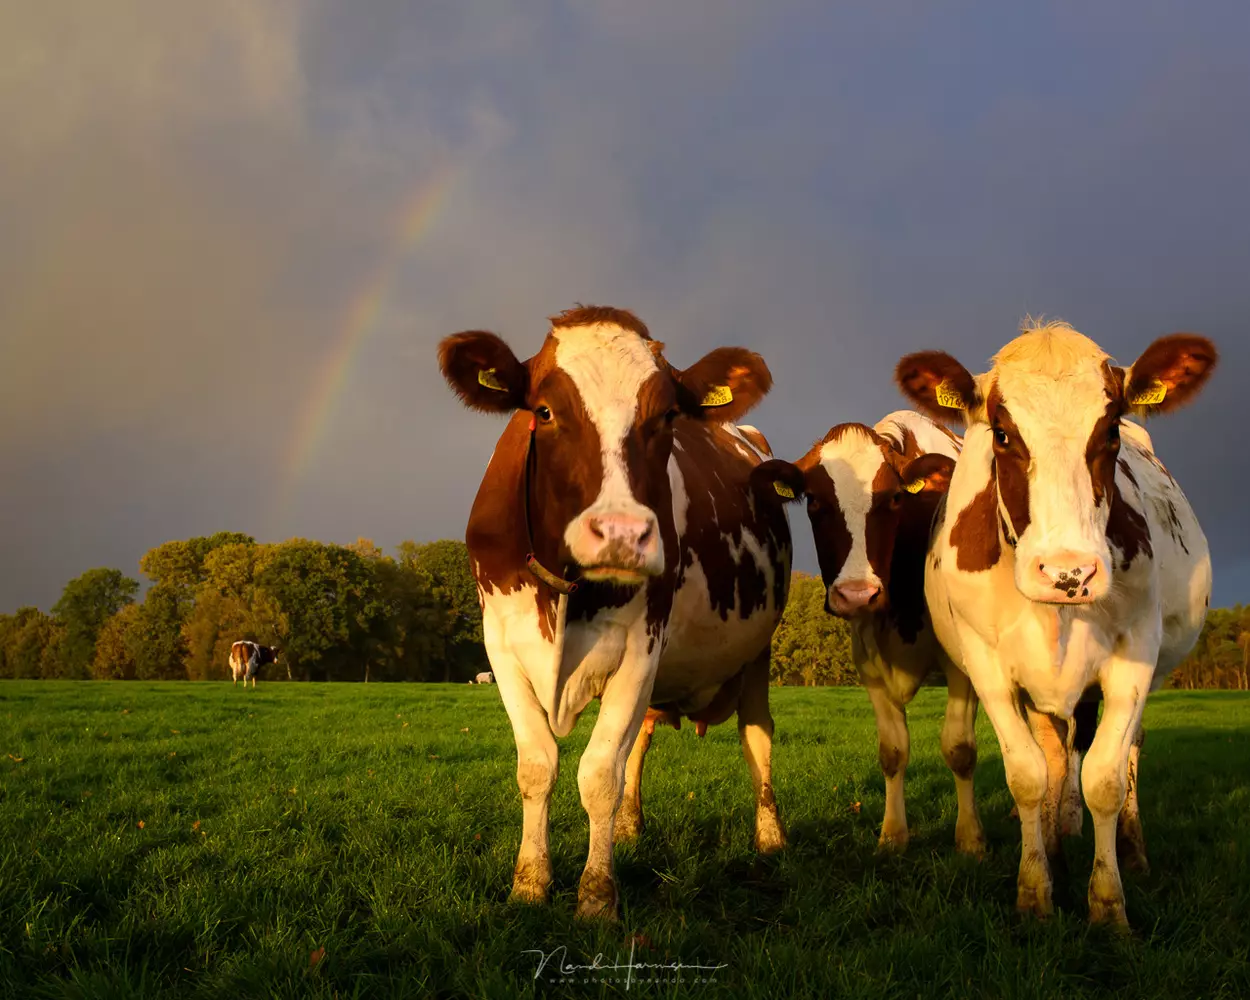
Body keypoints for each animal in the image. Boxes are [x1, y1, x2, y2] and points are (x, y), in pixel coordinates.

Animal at [440, 305, 790, 920]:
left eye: (668, 415)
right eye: (544, 411)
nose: (623, 534)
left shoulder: (640, 648)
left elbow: (600, 772)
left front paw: (596, 896)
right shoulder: (500, 645)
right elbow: (538, 766)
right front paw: (529, 882)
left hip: (757, 652)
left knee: (758, 736)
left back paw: (770, 838)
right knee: (643, 739)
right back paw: (629, 827)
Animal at [750, 410, 985, 855]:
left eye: (893, 498)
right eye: (814, 500)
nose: (857, 593)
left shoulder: (961, 660)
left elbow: (959, 748)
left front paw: (970, 839)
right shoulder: (868, 661)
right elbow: (892, 750)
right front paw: (892, 835)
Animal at [895, 322, 1215, 930]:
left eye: (1110, 431)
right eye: (1001, 434)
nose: (1069, 572)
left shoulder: (1135, 655)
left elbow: (1104, 778)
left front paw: (1108, 904)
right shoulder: (988, 665)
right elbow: (1028, 774)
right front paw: (1035, 890)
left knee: (1120, 751)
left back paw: (1126, 848)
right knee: (1053, 750)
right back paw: (1054, 841)